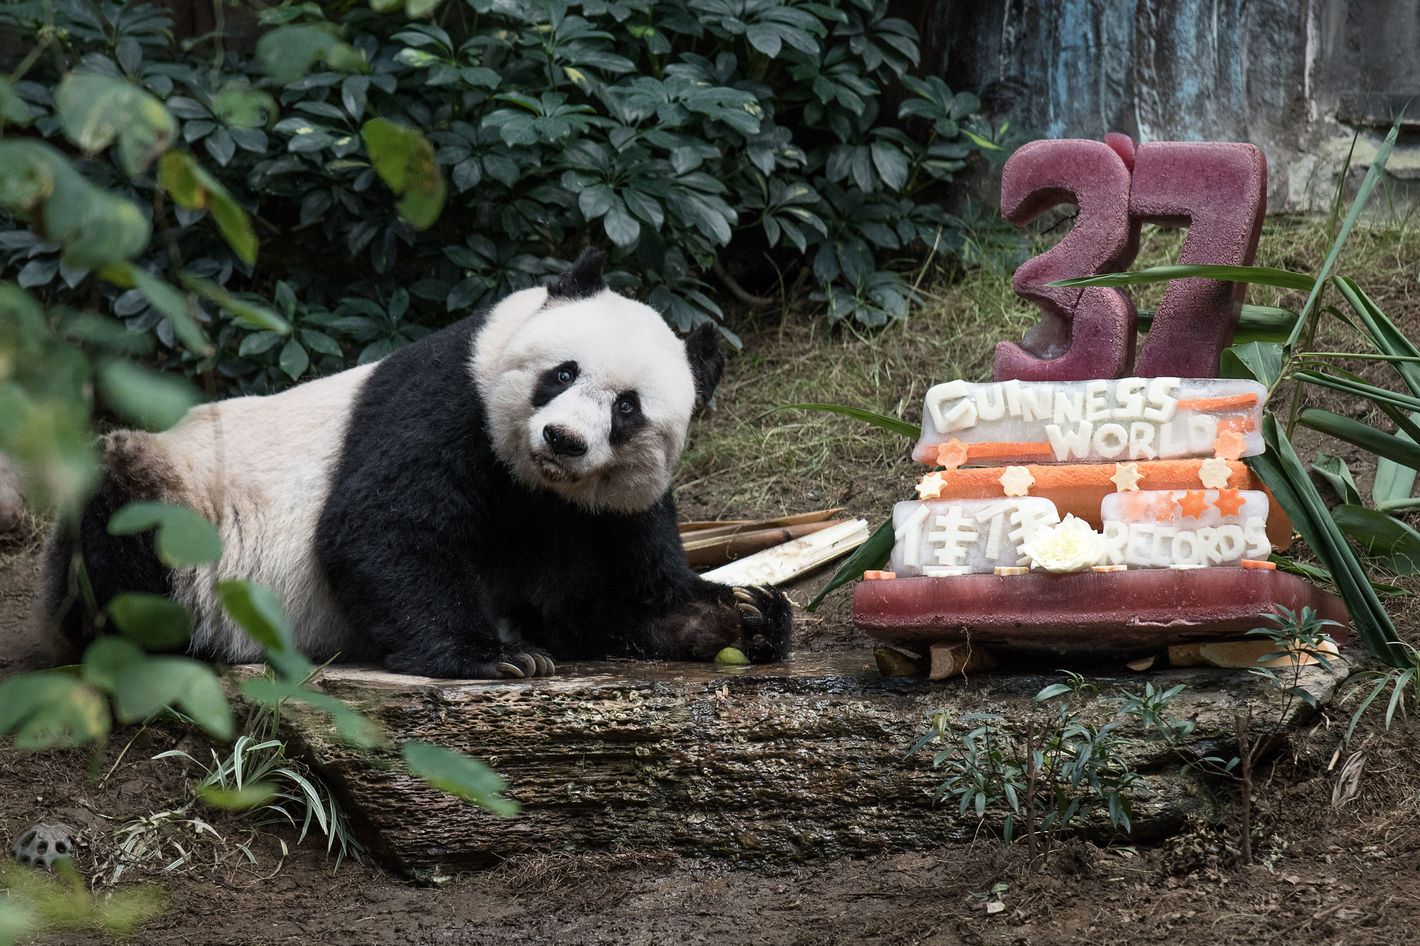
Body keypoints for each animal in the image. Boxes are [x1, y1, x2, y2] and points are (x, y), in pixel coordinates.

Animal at [43, 250, 793, 678]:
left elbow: (607, 594)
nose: (563, 440)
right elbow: (383, 527)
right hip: (179, 497)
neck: (537, 485)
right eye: (562, 373)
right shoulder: (446, 402)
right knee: (123, 523)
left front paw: (744, 616)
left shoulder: (604, 507)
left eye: (628, 409)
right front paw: (499, 657)